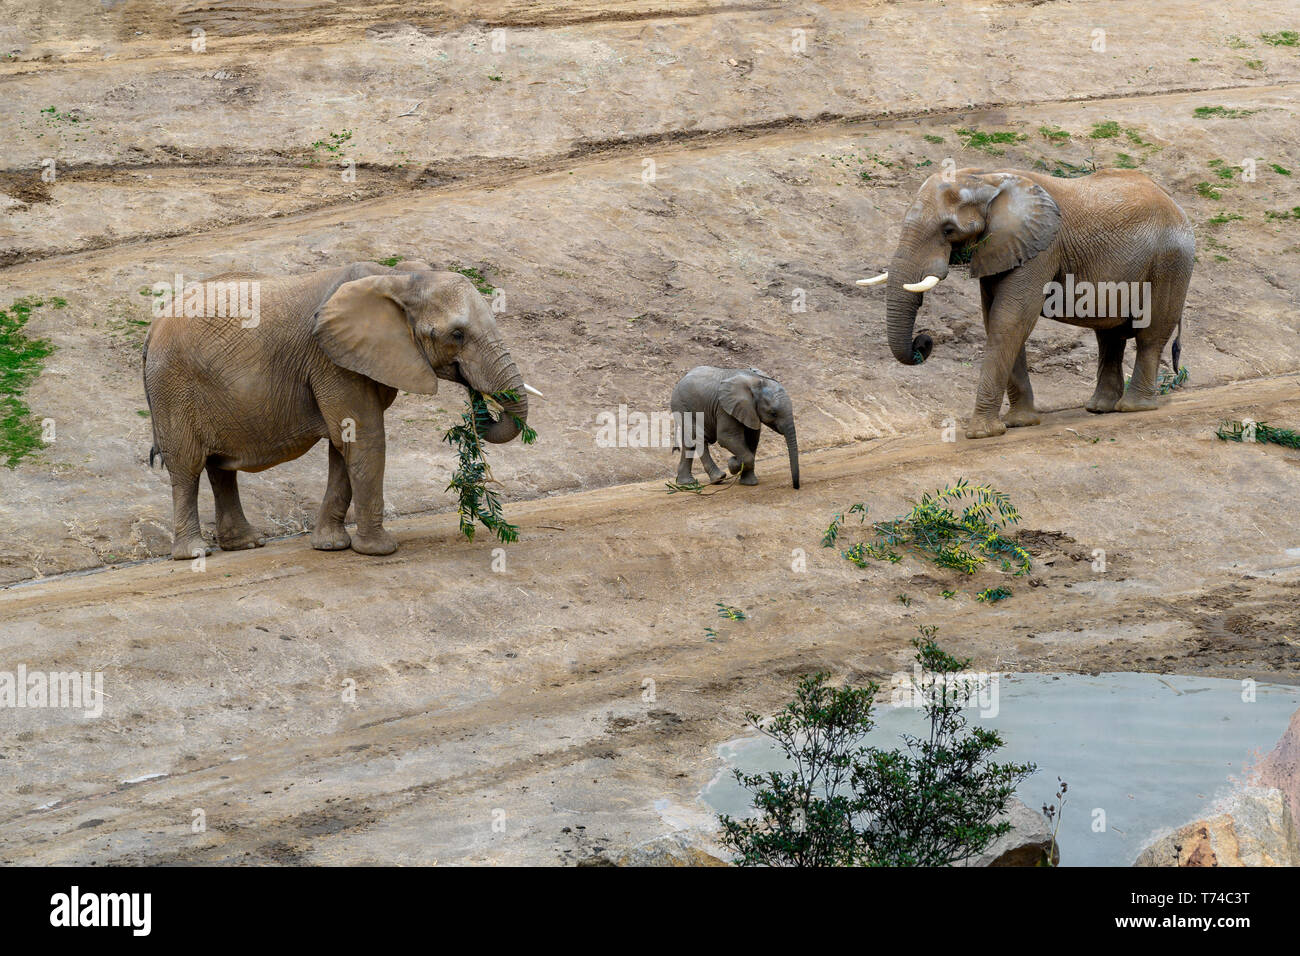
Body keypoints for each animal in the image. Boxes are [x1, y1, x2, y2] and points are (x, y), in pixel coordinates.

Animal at [142, 260, 532, 559]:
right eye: (457, 335)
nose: (476, 399)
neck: (399, 277)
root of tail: (153, 326)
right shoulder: (331, 361)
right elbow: (365, 439)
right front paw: (380, 550)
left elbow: (343, 444)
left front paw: (330, 546)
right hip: (173, 387)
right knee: (187, 466)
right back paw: (194, 554)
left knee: (219, 467)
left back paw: (247, 544)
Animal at [670, 366, 799, 488]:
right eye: (773, 413)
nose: (795, 487)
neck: (756, 380)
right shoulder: (724, 408)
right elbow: (726, 437)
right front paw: (732, 464)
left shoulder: (750, 411)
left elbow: (752, 439)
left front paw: (749, 483)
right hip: (682, 406)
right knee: (698, 437)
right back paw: (718, 478)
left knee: (689, 442)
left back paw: (686, 483)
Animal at [857, 167, 1194, 439]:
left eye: (948, 230)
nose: (923, 343)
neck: (984, 178)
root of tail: (1177, 205)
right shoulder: (1001, 248)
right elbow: (997, 320)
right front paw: (1018, 424)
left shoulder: (1041, 248)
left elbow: (1011, 319)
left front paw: (981, 434)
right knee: (1109, 336)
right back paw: (1100, 408)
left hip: (1170, 263)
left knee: (1149, 335)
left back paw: (1134, 408)